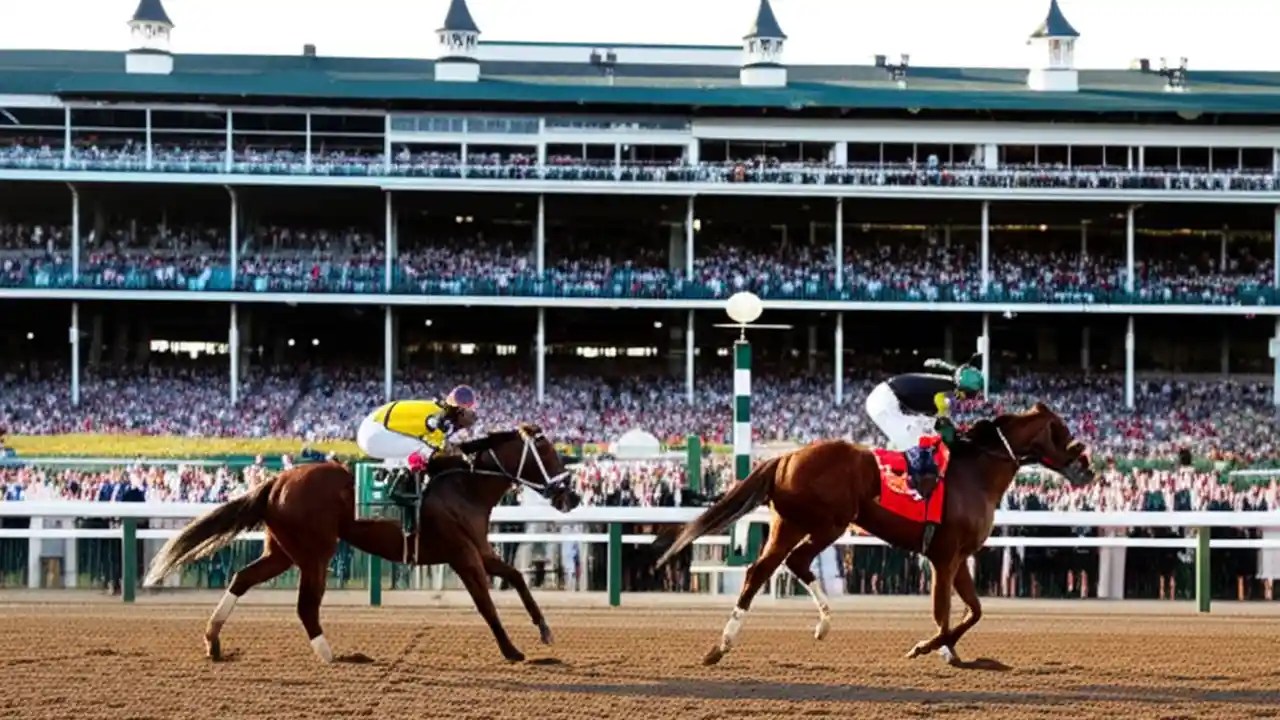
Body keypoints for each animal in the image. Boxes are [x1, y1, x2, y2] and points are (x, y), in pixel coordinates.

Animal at [144, 423, 579, 664]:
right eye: (547, 452)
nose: (571, 497)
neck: (465, 485)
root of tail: (276, 481)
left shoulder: (481, 552)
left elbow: (518, 578)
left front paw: (545, 630)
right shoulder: (463, 556)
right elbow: (487, 606)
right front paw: (512, 650)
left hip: (282, 551)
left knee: (242, 578)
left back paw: (213, 641)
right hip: (315, 554)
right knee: (305, 607)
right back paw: (332, 655)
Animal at [653, 402, 1094, 667]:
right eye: (1061, 430)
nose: (1087, 468)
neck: (976, 473)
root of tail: (788, 456)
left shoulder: (960, 557)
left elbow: (974, 610)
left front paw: (951, 653)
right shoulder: (943, 556)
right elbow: (943, 613)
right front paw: (927, 647)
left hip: (789, 523)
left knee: (767, 569)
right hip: (825, 523)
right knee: (785, 564)